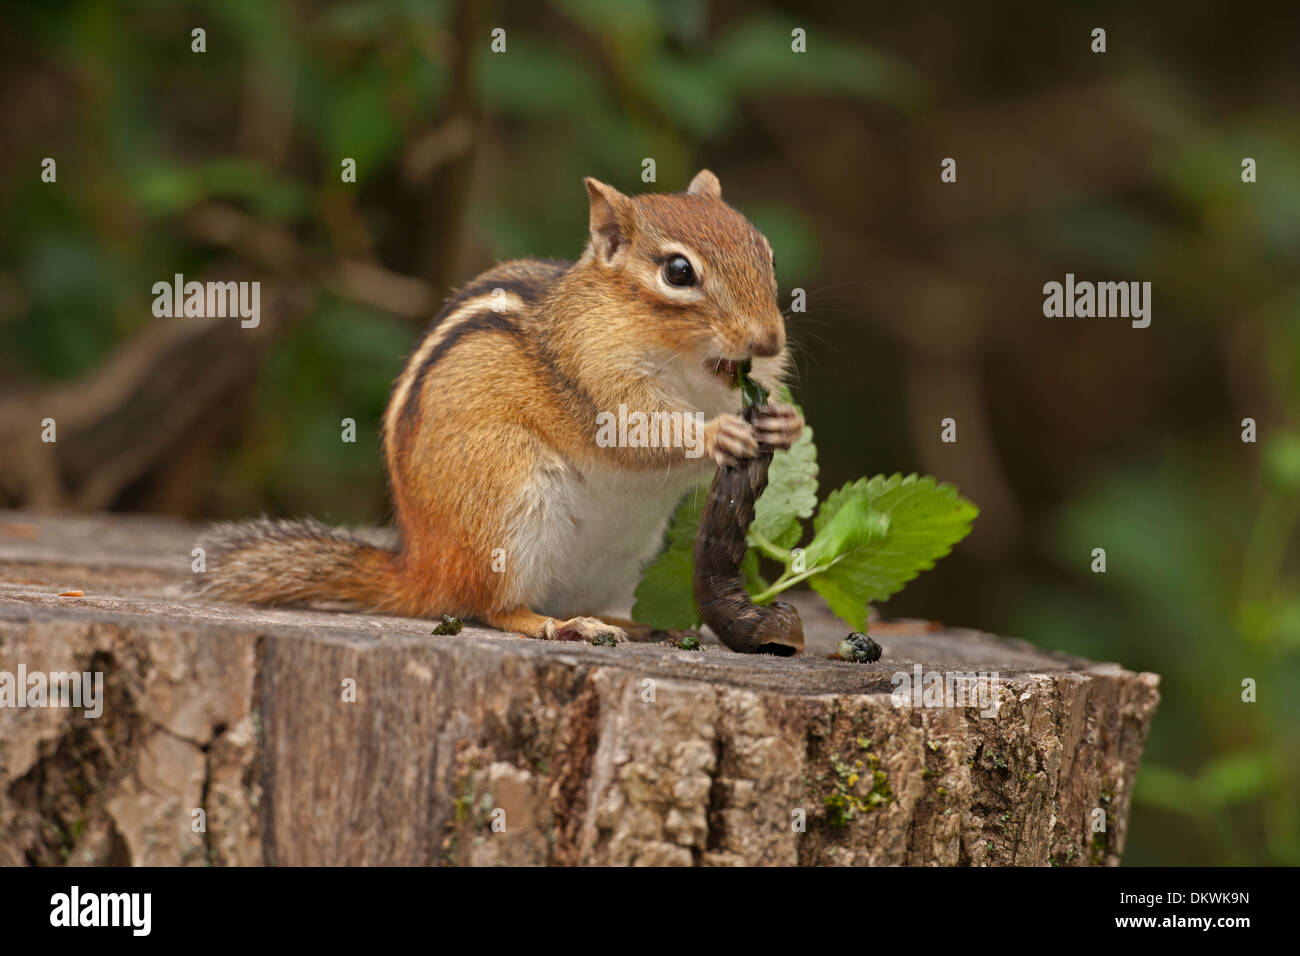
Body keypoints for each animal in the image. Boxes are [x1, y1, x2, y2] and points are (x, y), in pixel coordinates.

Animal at [198, 170, 803, 642]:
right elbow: (637, 434)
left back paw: (631, 624)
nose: (769, 340)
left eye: (768, 254)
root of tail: (421, 567)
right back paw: (559, 625)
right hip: (509, 506)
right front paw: (718, 435)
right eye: (678, 272)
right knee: (493, 607)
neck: (688, 370)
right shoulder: (596, 380)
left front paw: (785, 423)